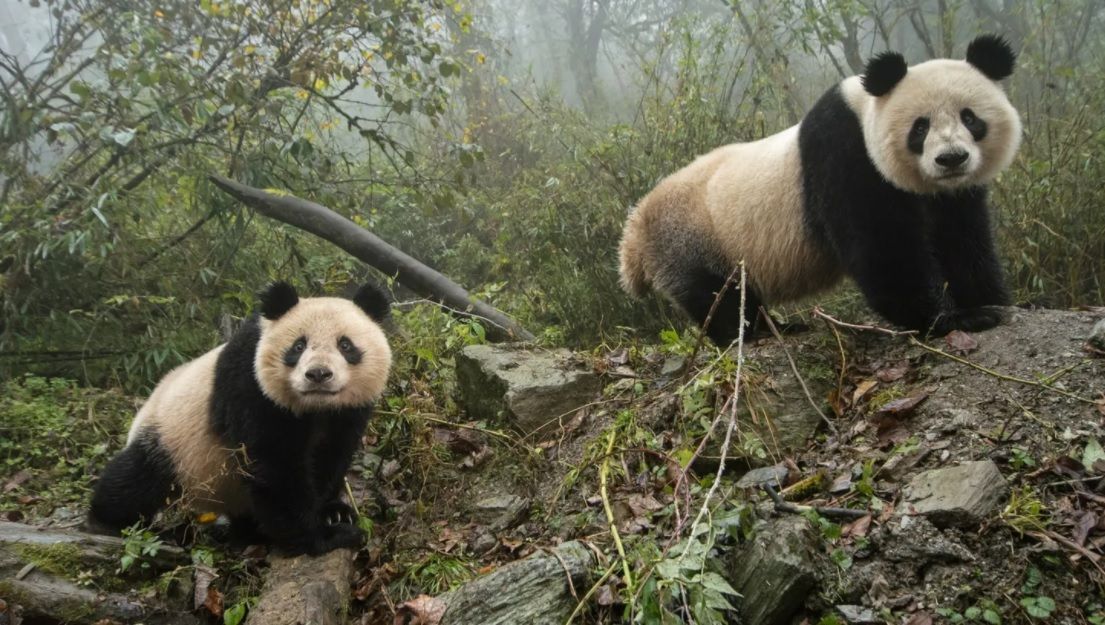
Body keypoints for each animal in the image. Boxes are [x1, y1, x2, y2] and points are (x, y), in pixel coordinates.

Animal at [89, 281, 392, 556]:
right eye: (298, 346)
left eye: (345, 345)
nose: (318, 374)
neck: (315, 408)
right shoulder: (249, 385)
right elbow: (275, 465)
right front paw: (323, 536)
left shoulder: (347, 411)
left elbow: (331, 455)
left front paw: (334, 512)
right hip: (171, 441)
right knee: (135, 480)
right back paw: (105, 518)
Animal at [618, 34, 1022, 346]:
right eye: (919, 128)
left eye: (970, 118)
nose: (951, 159)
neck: (864, 110)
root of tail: (635, 226)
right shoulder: (845, 156)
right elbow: (883, 250)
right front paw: (955, 319)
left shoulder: (954, 195)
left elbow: (963, 240)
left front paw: (992, 301)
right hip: (690, 238)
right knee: (718, 296)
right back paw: (749, 334)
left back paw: (781, 327)